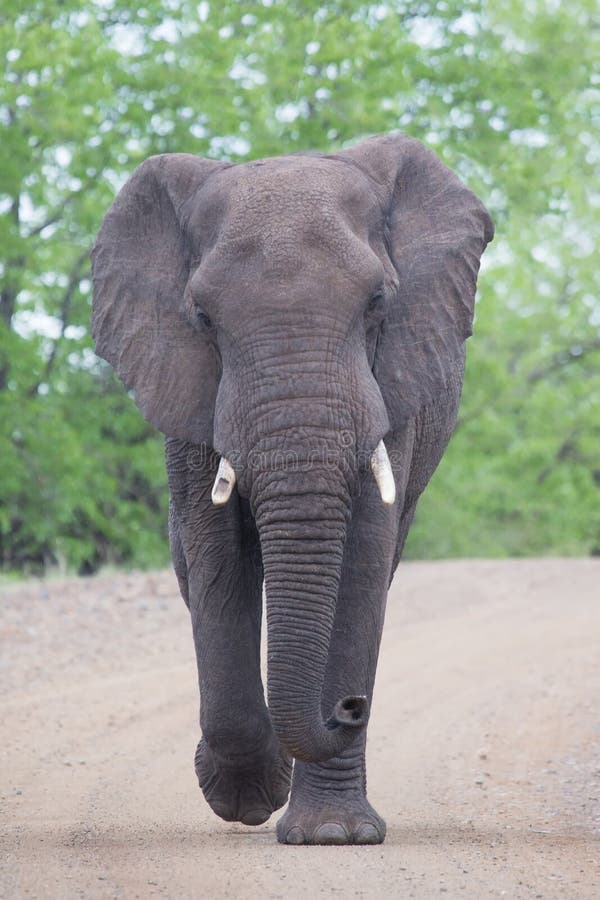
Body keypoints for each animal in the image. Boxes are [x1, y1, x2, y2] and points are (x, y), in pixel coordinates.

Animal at [91, 133, 493, 845]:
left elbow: (363, 556)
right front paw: (249, 797)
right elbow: (216, 554)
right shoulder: (190, 388)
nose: (350, 707)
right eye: (201, 317)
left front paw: (333, 836)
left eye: (378, 304)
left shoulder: (393, 385)